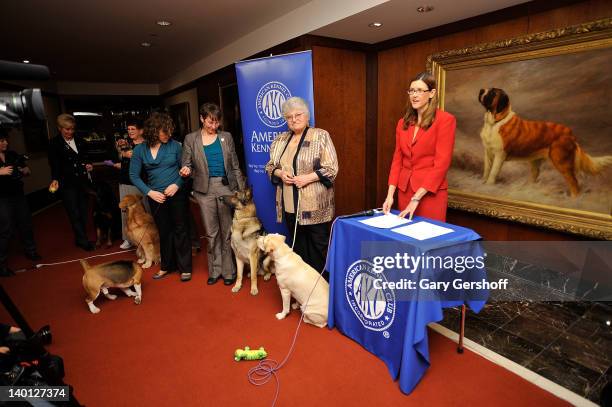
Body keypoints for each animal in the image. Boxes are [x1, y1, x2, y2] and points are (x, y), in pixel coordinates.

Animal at [478, 88, 612, 198]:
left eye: (492, 93)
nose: (481, 90)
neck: (494, 123)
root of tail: (570, 133)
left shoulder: (500, 155)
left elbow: (493, 172)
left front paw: (489, 186)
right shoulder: (487, 153)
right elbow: (487, 169)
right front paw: (483, 182)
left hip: (561, 161)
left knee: (573, 182)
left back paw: (574, 200)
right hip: (535, 160)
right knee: (536, 173)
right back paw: (529, 188)